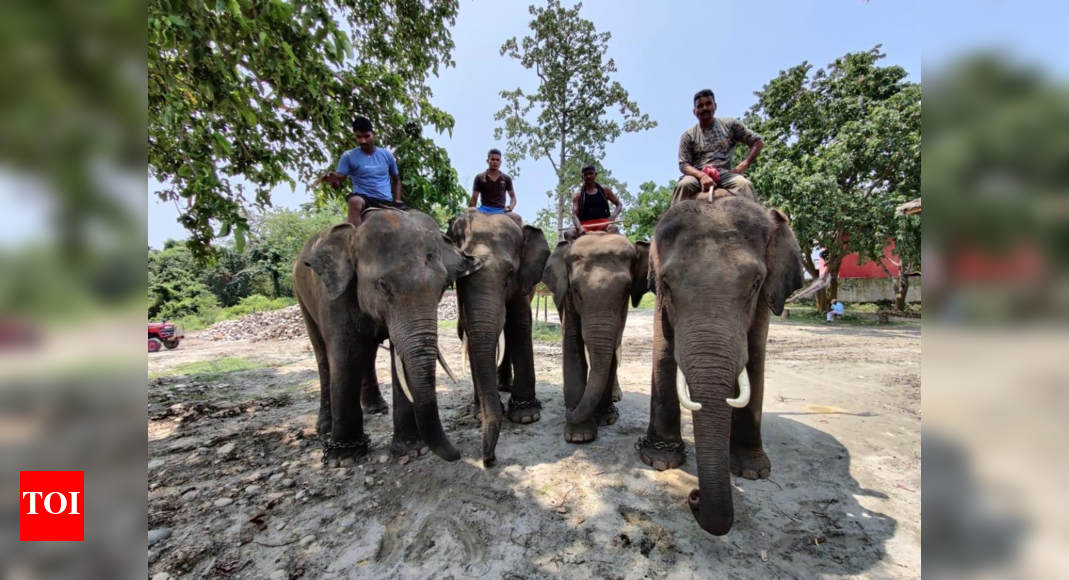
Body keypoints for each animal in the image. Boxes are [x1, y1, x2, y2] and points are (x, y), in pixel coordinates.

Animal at [293, 209, 483, 467]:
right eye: (383, 286)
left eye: (444, 287)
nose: (458, 454)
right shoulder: (335, 298)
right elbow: (344, 356)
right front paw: (342, 459)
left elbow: (397, 358)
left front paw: (412, 450)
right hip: (301, 294)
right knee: (323, 356)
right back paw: (324, 427)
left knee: (369, 353)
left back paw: (377, 408)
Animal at [446, 212, 550, 466]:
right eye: (460, 279)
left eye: (509, 275)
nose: (489, 460)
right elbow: (467, 335)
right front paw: (479, 414)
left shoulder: (522, 283)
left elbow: (519, 326)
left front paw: (526, 417)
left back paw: (505, 387)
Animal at [541, 232, 650, 443]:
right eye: (575, 290)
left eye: (627, 290)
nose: (569, 410)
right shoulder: (566, 297)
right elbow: (572, 343)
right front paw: (579, 437)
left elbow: (613, 347)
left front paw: (607, 419)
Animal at [638, 196, 804, 536]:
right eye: (666, 284)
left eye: (755, 283)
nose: (695, 495)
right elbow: (664, 353)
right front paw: (660, 462)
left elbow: (755, 358)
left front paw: (753, 472)